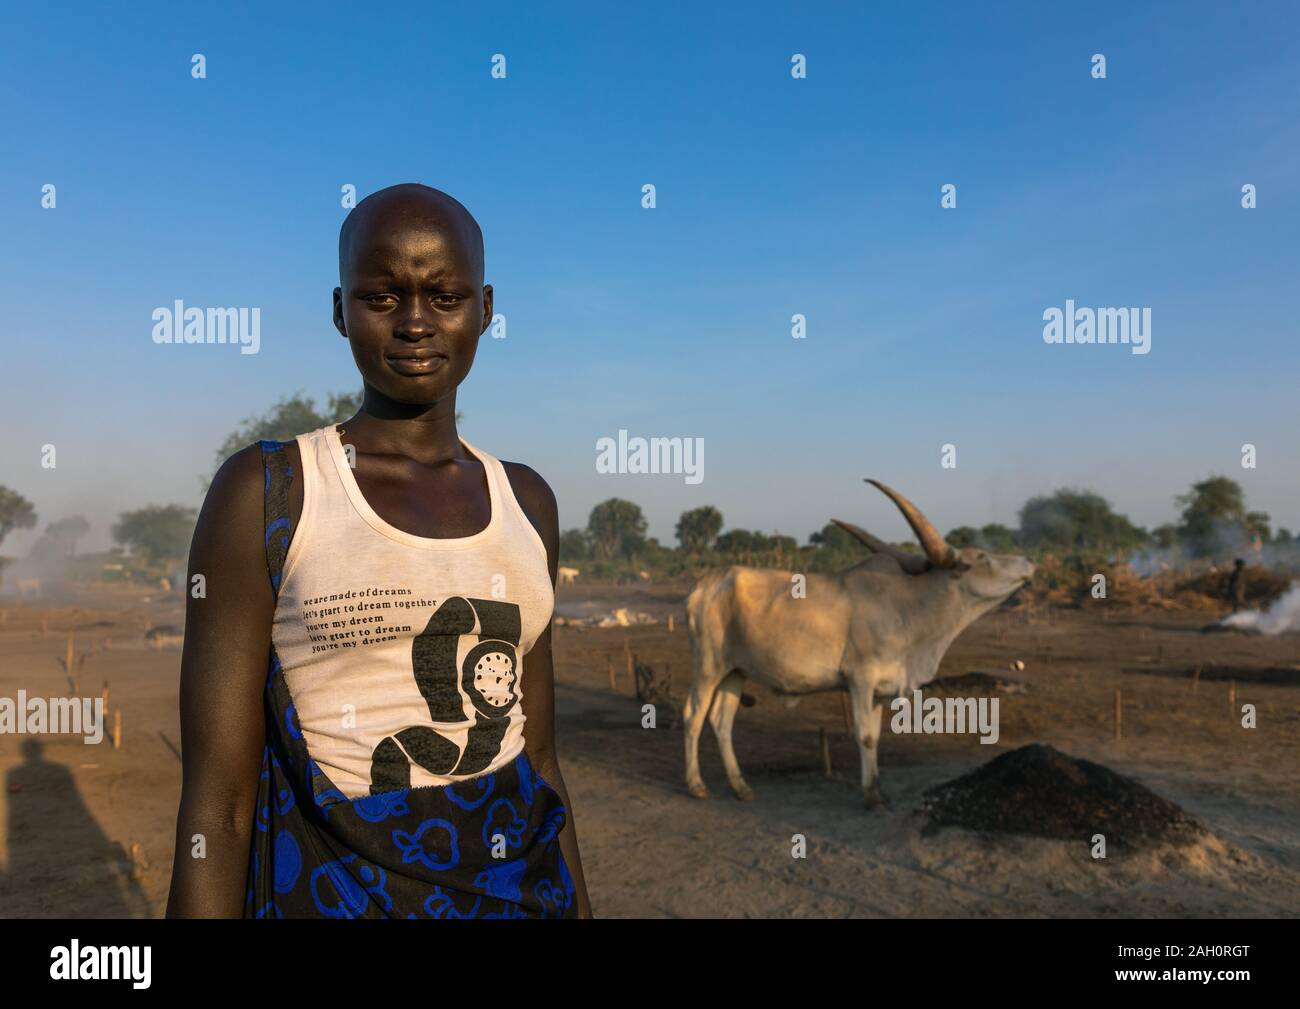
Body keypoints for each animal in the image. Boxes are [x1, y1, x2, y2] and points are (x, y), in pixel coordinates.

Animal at [684, 479, 1034, 808]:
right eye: (983, 558)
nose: (1028, 562)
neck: (909, 607)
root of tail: (705, 584)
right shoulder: (860, 679)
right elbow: (864, 736)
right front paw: (872, 798)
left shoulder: (879, 689)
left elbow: (876, 736)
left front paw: (878, 789)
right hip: (707, 666)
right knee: (694, 715)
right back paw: (696, 785)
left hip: (735, 671)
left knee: (721, 721)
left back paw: (741, 788)